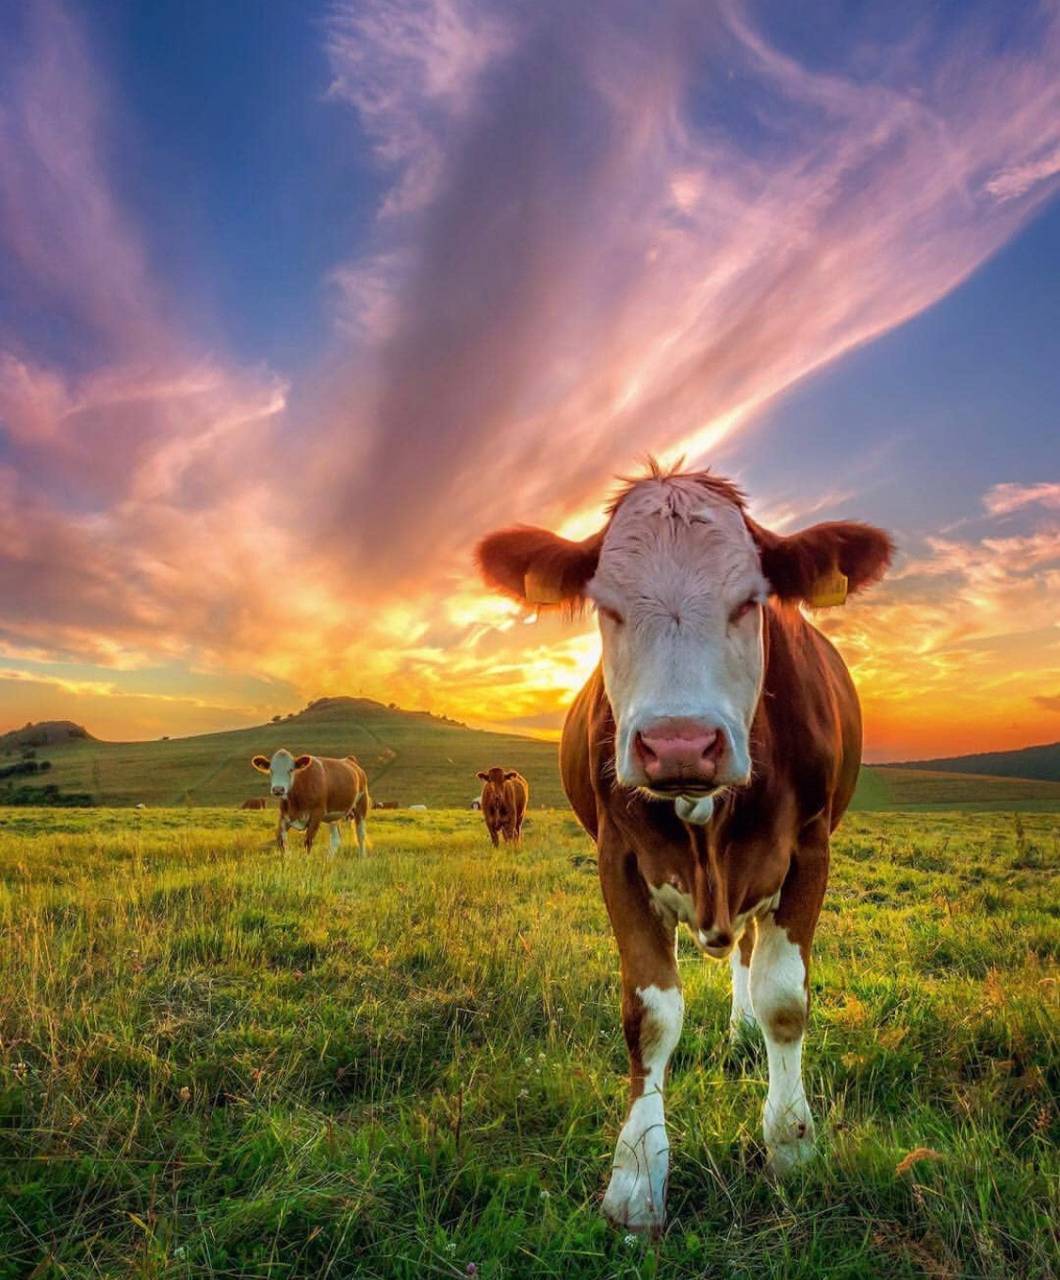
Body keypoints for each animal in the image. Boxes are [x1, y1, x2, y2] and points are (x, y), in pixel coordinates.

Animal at [477, 463, 892, 1234]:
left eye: (750, 602)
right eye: (606, 606)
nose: (677, 745)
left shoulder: (809, 848)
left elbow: (783, 1001)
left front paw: (792, 1146)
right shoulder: (618, 858)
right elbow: (650, 1015)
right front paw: (637, 1180)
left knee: (750, 960)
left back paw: (742, 1033)